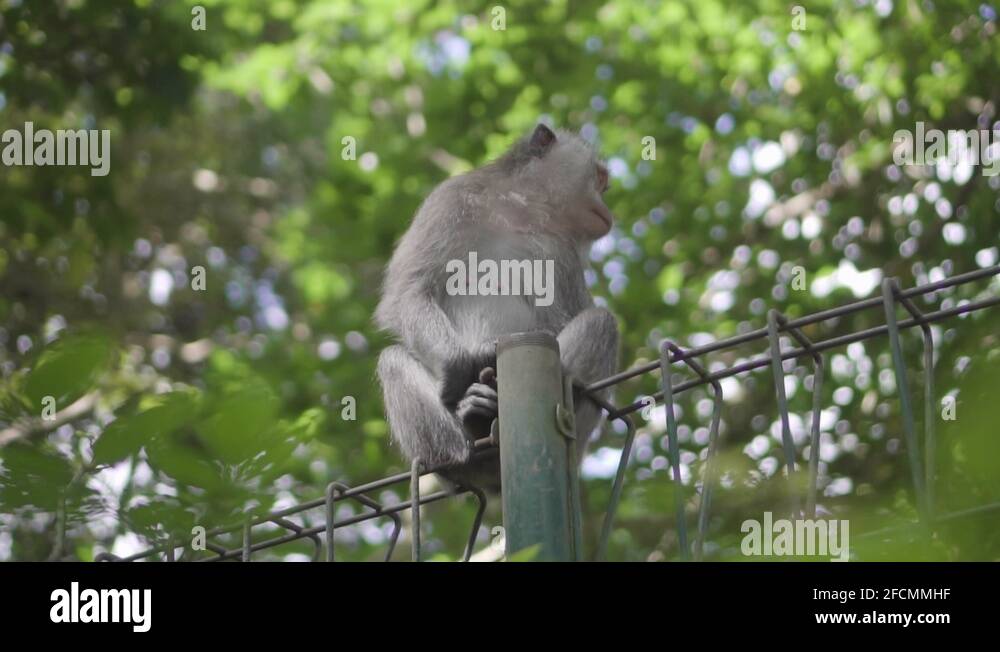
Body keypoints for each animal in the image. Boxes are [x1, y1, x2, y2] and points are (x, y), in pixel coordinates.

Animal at [374, 124, 619, 491]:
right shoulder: (450, 200)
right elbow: (409, 291)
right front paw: (458, 368)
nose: (607, 207)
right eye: (600, 179)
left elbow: (561, 317)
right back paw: (466, 435)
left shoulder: (561, 249)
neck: (519, 206)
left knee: (601, 323)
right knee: (391, 360)